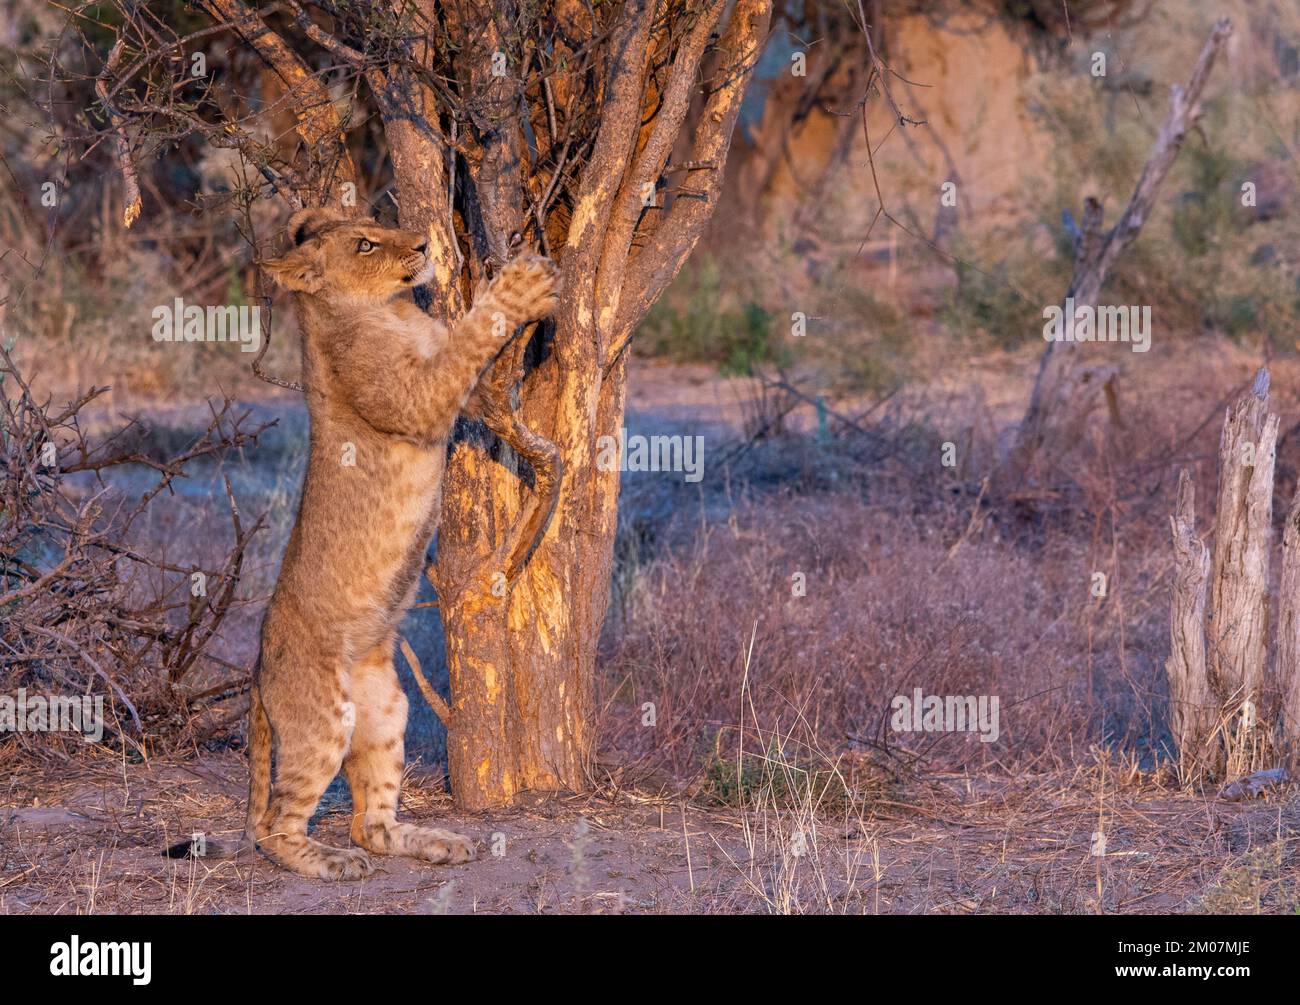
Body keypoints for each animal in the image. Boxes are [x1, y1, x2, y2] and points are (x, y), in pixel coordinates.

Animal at [167, 207, 558, 879]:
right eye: (366, 244)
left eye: (378, 220)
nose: (424, 243)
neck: (388, 310)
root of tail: (258, 673)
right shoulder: (416, 398)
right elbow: (470, 338)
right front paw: (519, 286)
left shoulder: (457, 389)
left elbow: (471, 361)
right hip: (325, 717)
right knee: (274, 825)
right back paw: (329, 862)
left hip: (387, 708)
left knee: (368, 823)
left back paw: (434, 843)